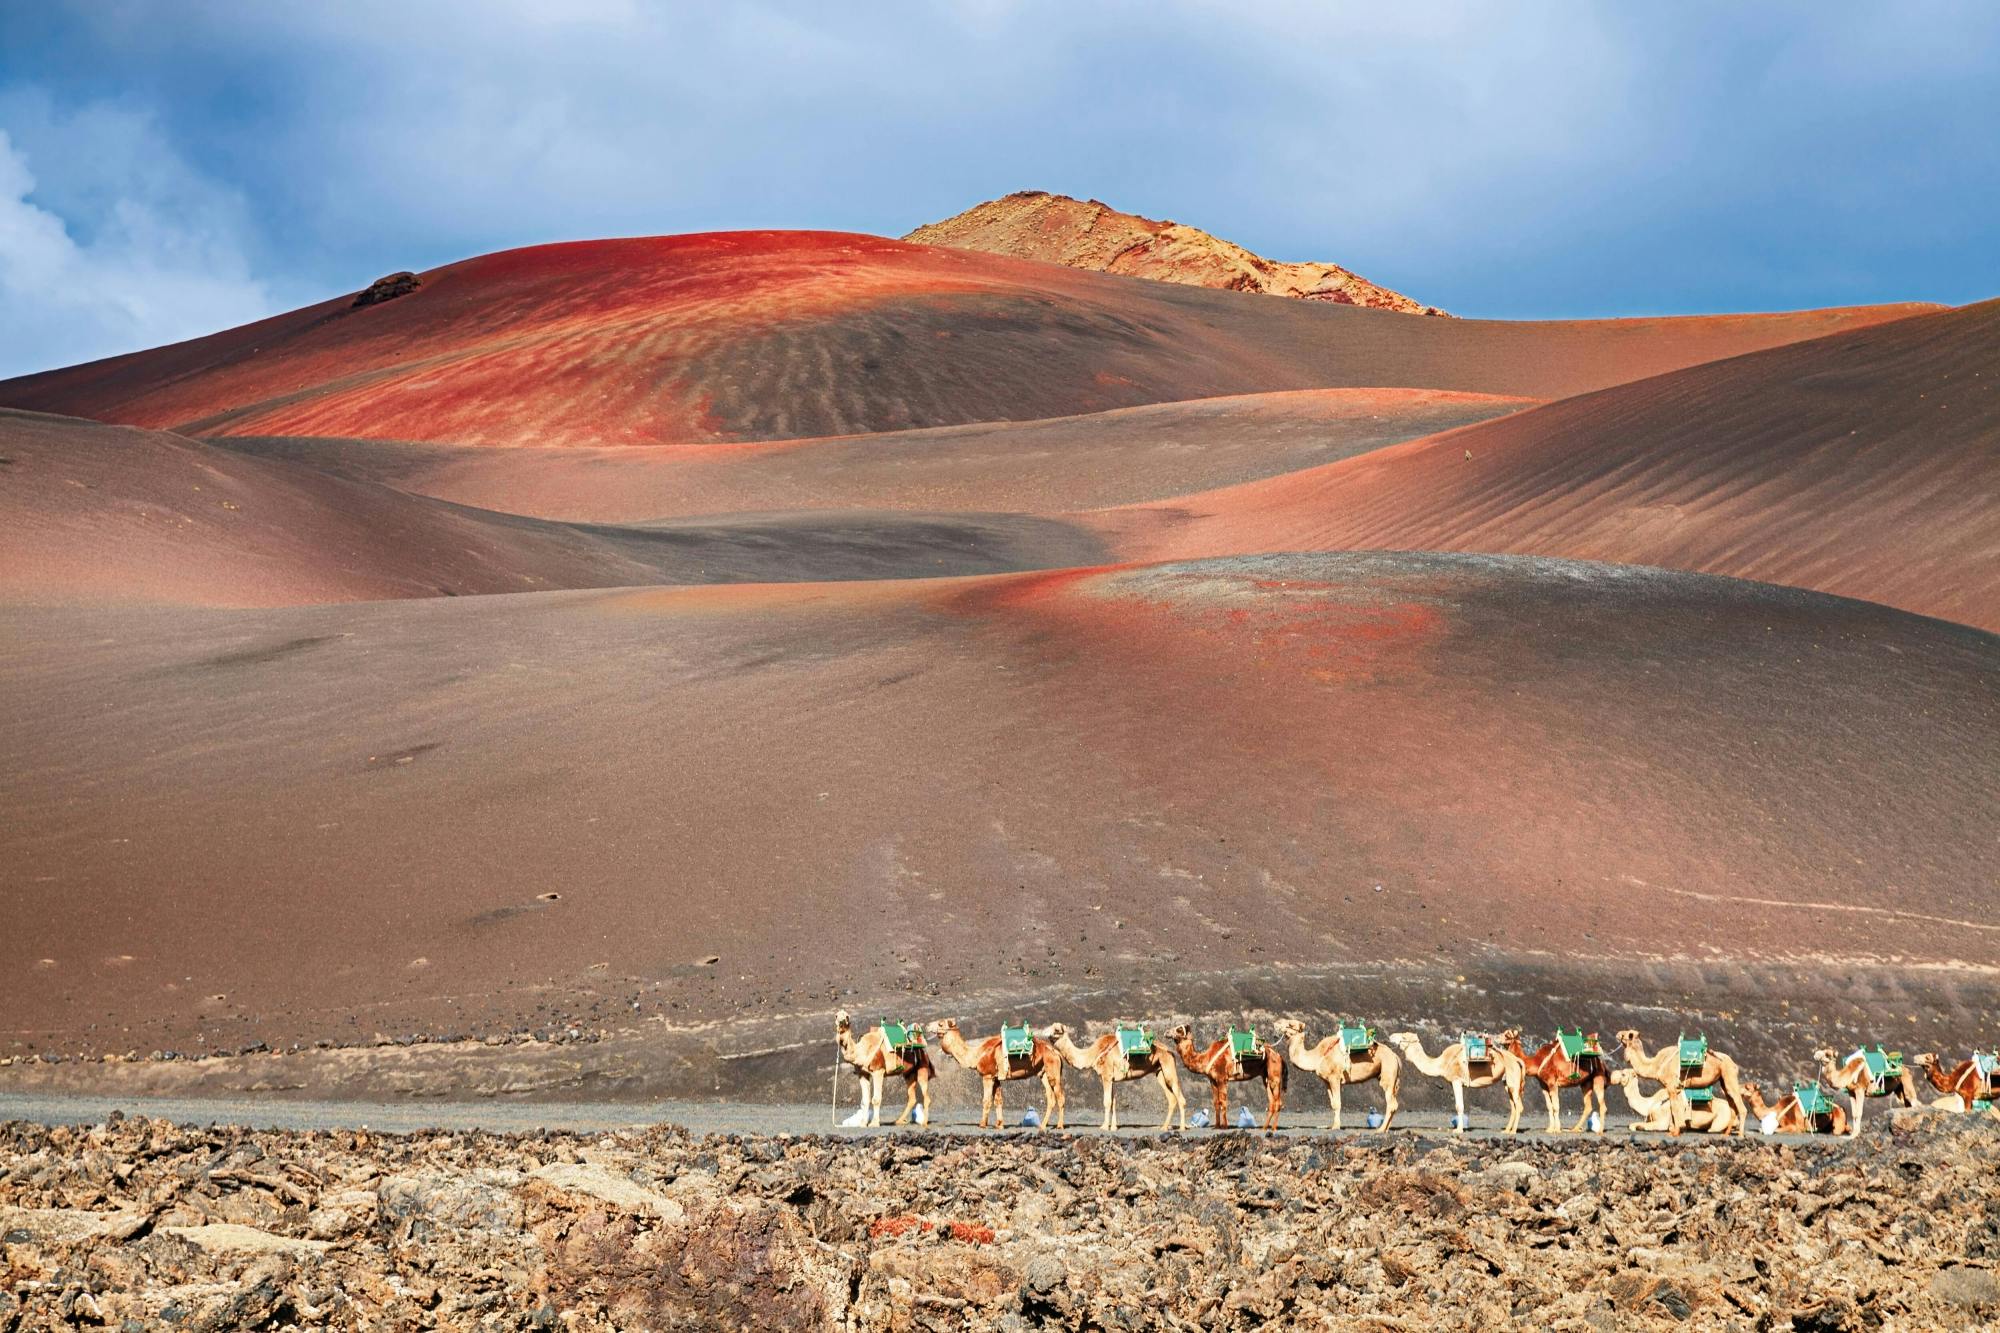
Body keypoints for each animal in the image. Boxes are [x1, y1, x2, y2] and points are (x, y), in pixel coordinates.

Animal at [926, 1019, 1066, 1130]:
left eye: (940, 1023)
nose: (927, 1026)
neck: (977, 1055)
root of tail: (1057, 1053)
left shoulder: (987, 1076)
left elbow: (986, 1100)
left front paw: (982, 1124)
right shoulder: (996, 1078)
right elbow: (998, 1101)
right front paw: (999, 1125)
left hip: (1053, 1069)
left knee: (1060, 1096)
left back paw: (1059, 1126)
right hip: (1043, 1072)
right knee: (1051, 1098)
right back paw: (1042, 1125)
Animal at [1045, 1023, 1187, 1131]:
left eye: (1057, 1030)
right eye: (1050, 1026)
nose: (1045, 1033)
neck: (1093, 1053)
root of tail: (1171, 1052)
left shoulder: (1106, 1076)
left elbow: (1107, 1101)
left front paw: (1104, 1127)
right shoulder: (1112, 1079)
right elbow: (1113, 1102)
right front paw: (1113, 1127)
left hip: (1169, 1068)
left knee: (1180, 1098)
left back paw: (1182, 1128)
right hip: (1160, 1072)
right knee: (1171, 1099)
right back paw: (1164, 1127)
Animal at [1386, 1032, 1526, 1134]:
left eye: (1404, 1036)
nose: (1391, 1036)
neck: (1442, 1063)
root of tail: (1517, 1060)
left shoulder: (1456, 1080)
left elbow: (1459, 1105)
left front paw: (1458, 1130)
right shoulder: (1455, 1082)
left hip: (1513, 1080)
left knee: (1518, 1106)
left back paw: (1513, 1132)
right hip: (1506, 1082)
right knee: (1513, 1105)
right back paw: (1506, 1130)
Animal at [1614, 1031, 1748, 1137]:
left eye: (1627, 1034)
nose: (1617, 1034)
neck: (1656, 1064)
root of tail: (1734, 1064)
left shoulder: (1671, 1086)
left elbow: (1674, 1108)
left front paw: (1675, 1132)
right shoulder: (1677, 1088)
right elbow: (1676, 1109)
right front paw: (1676, 1129)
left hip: (1729, 1075)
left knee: (1740, 1107)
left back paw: (1740, 1134)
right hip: (1723, 1081)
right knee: (1732, 1105)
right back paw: (1726, 1134)